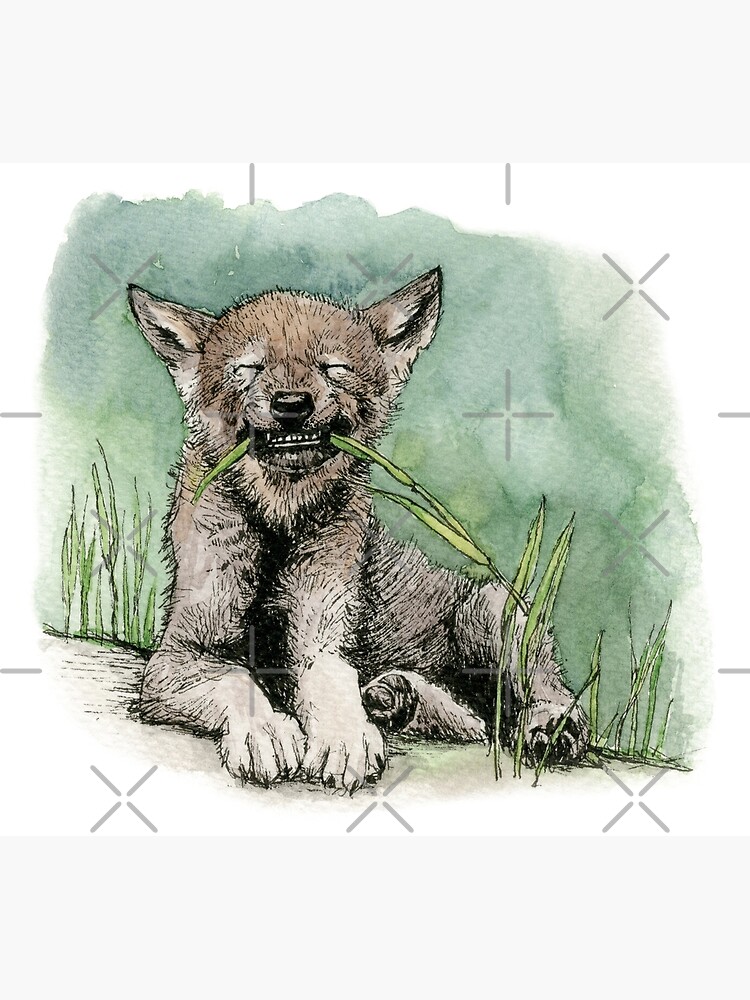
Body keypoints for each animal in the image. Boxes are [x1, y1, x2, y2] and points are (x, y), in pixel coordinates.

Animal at [128, 268, 587, 791]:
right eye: (250, 368)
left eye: (333, 368)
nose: (292, 404)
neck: (282, 521)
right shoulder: (177, 654)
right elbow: (234, 678)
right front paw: (266, 732)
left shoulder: (323, 633)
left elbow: (331, 678)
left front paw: (343, 738)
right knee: (472, 718)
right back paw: (394, 697)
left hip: (492, 611)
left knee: (533, 695)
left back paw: (550, 727)